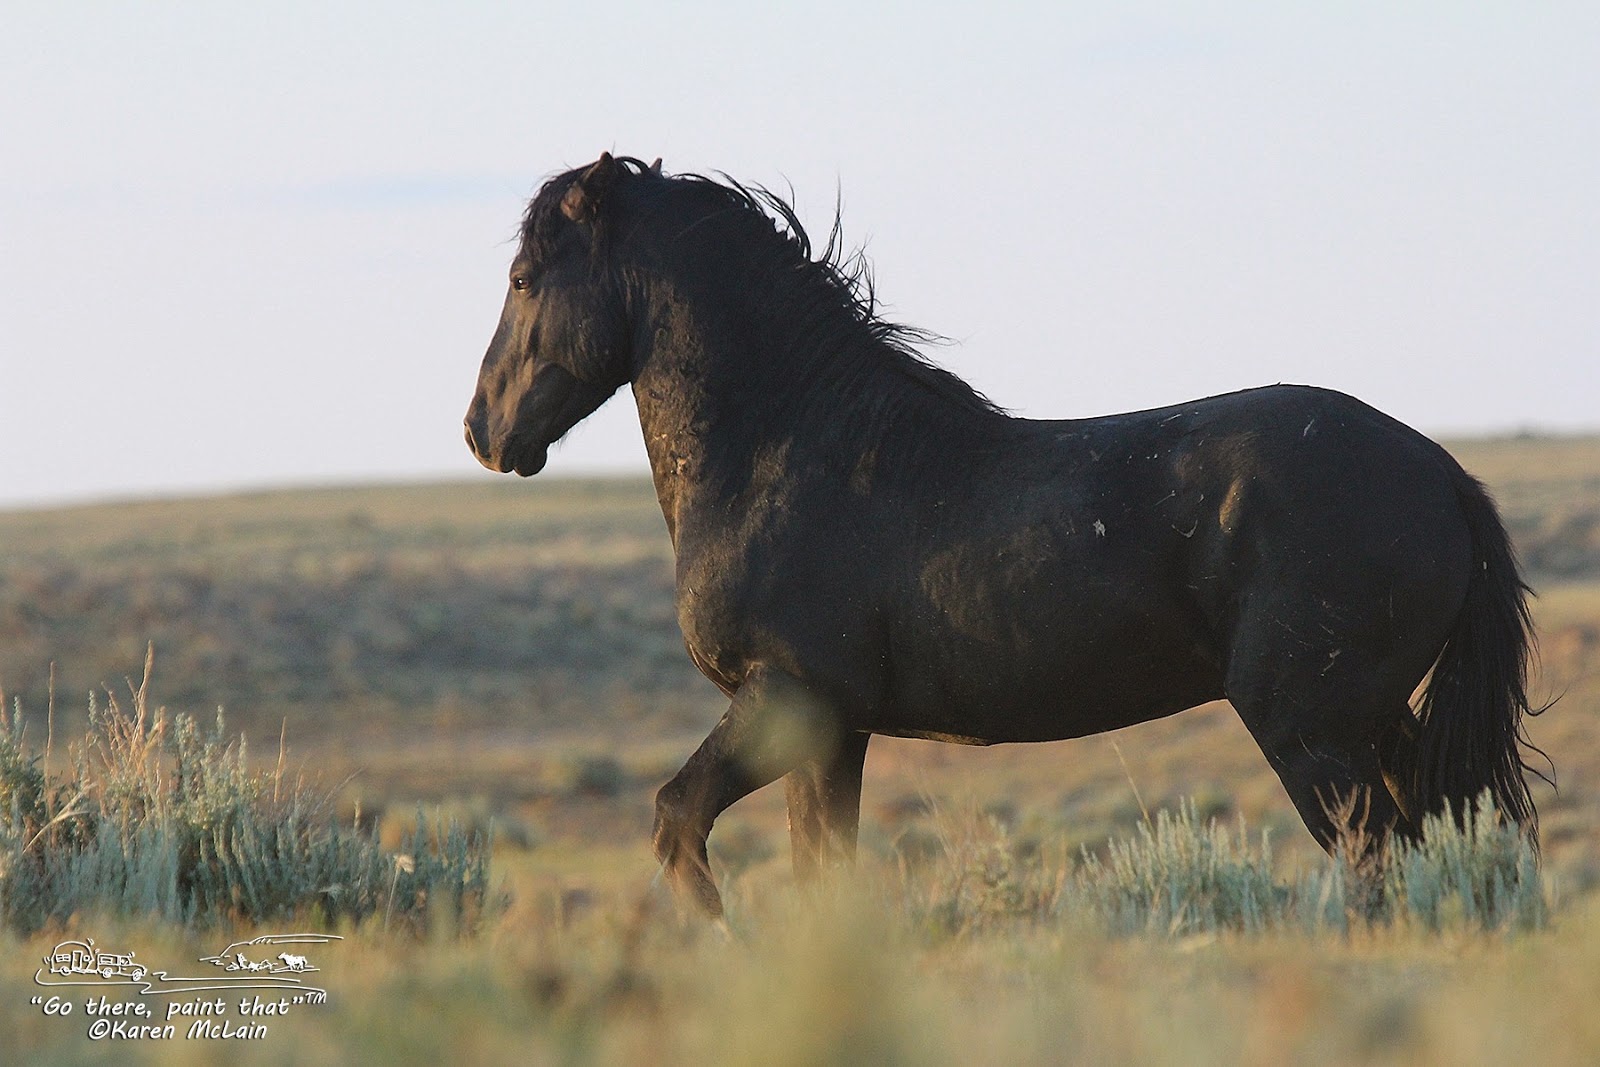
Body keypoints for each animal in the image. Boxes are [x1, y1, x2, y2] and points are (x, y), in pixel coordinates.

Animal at [464, 152, 1543, 918]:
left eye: (523, 276)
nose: (482, 431)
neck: (788, 447)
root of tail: (1440, 472)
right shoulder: (833, 733)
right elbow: (819, 872)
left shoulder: (790, 700)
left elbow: (677, 823)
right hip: (1371, 719)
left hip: (1310, 729)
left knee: (1378, 862)